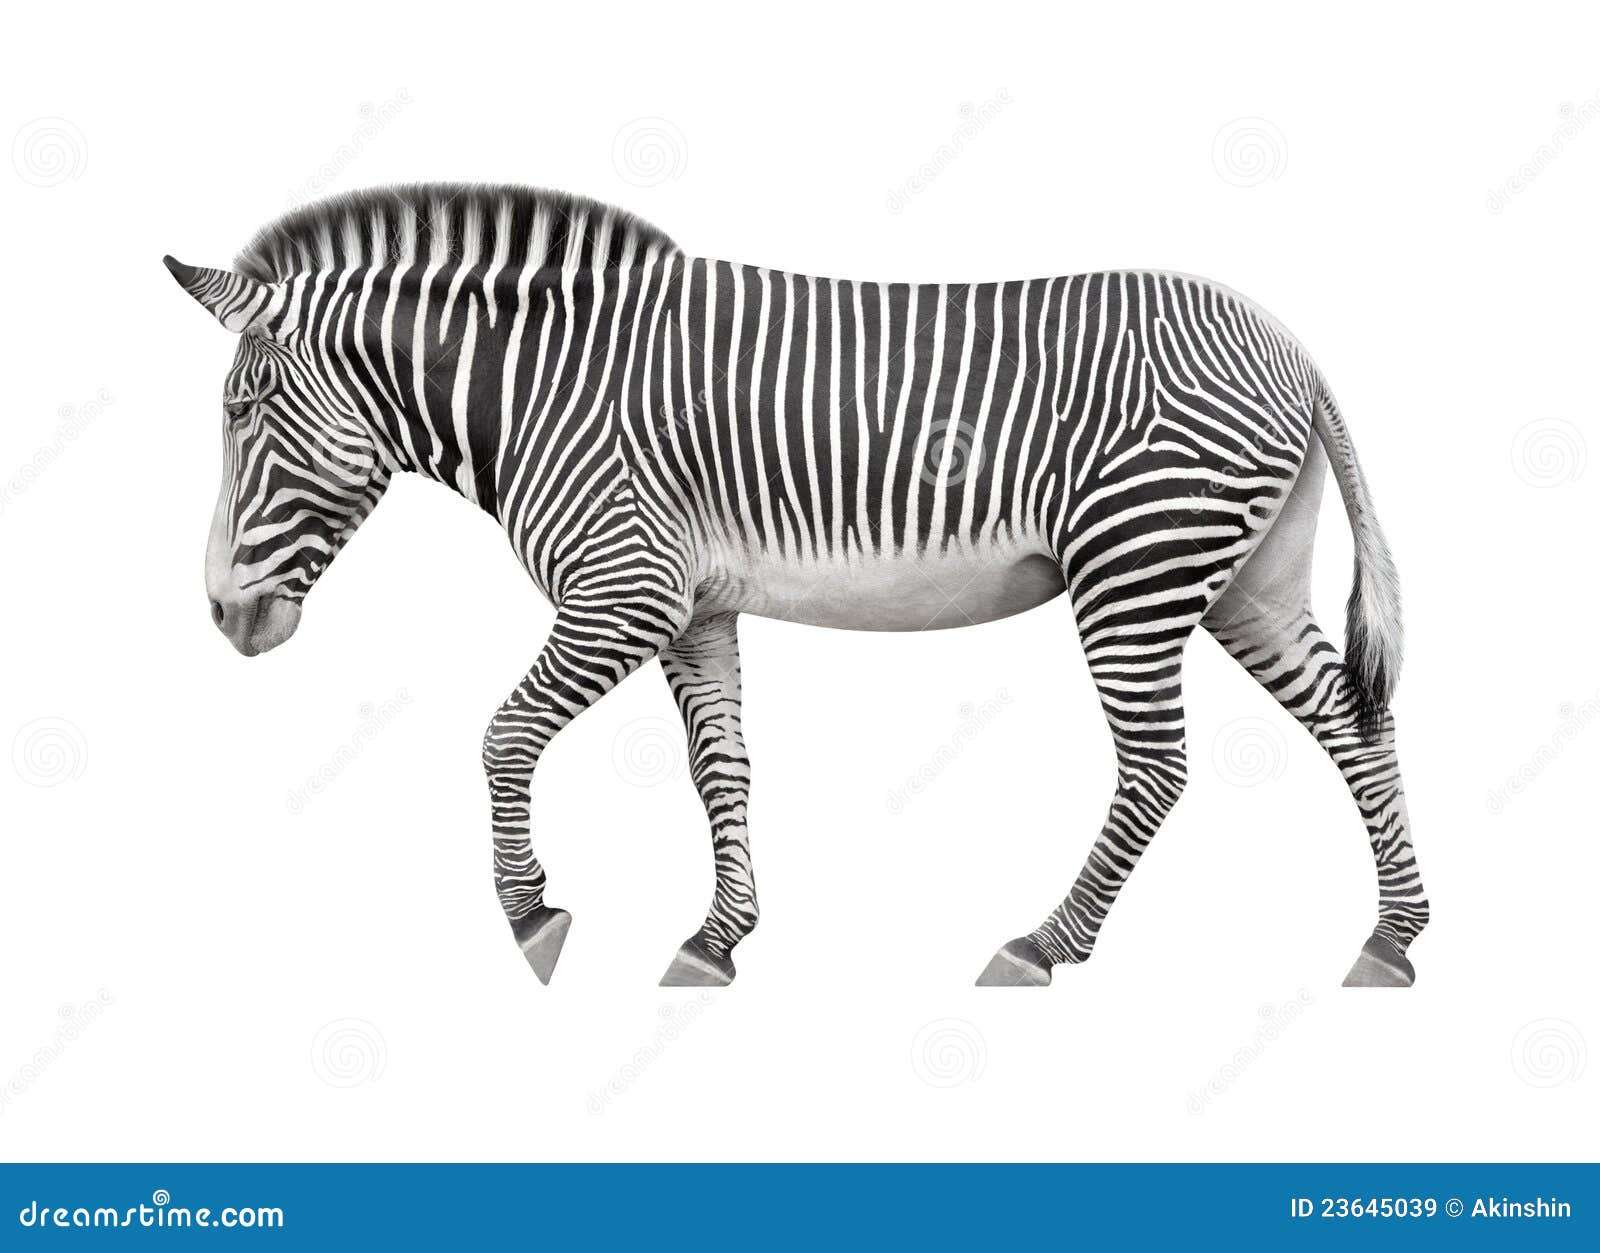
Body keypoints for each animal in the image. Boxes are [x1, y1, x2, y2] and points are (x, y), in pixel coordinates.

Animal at [164, 182, 1427, 988]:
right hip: (1243, 580)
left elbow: (502, 735)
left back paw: (1042, 943)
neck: (544, 393)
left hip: (1135, 570)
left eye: (239, 409)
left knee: (1160, 767)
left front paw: (531, 914)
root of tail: (1291, 346)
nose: (224, 614)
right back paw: (1392, 936)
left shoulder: (621, 589)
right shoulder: (691, 605)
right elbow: (717, 765)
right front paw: (718, 936)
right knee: (1351, 720)